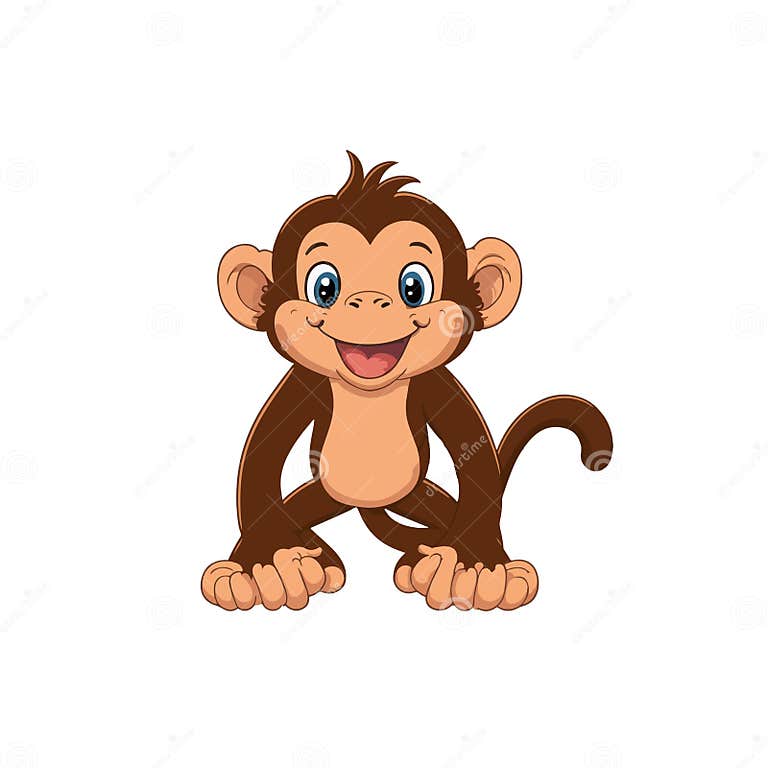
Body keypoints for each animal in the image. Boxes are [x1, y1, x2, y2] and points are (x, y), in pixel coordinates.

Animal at [201, 151, 612, 612]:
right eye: (325, 286)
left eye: (413, 286)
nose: (368, 300)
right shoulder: (303, 385)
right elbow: (262, 457)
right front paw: (266, 565)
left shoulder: (436, 386)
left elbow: (476, 463)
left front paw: (474, 568)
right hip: (323, 492)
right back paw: (313, 558)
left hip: (419, 495)